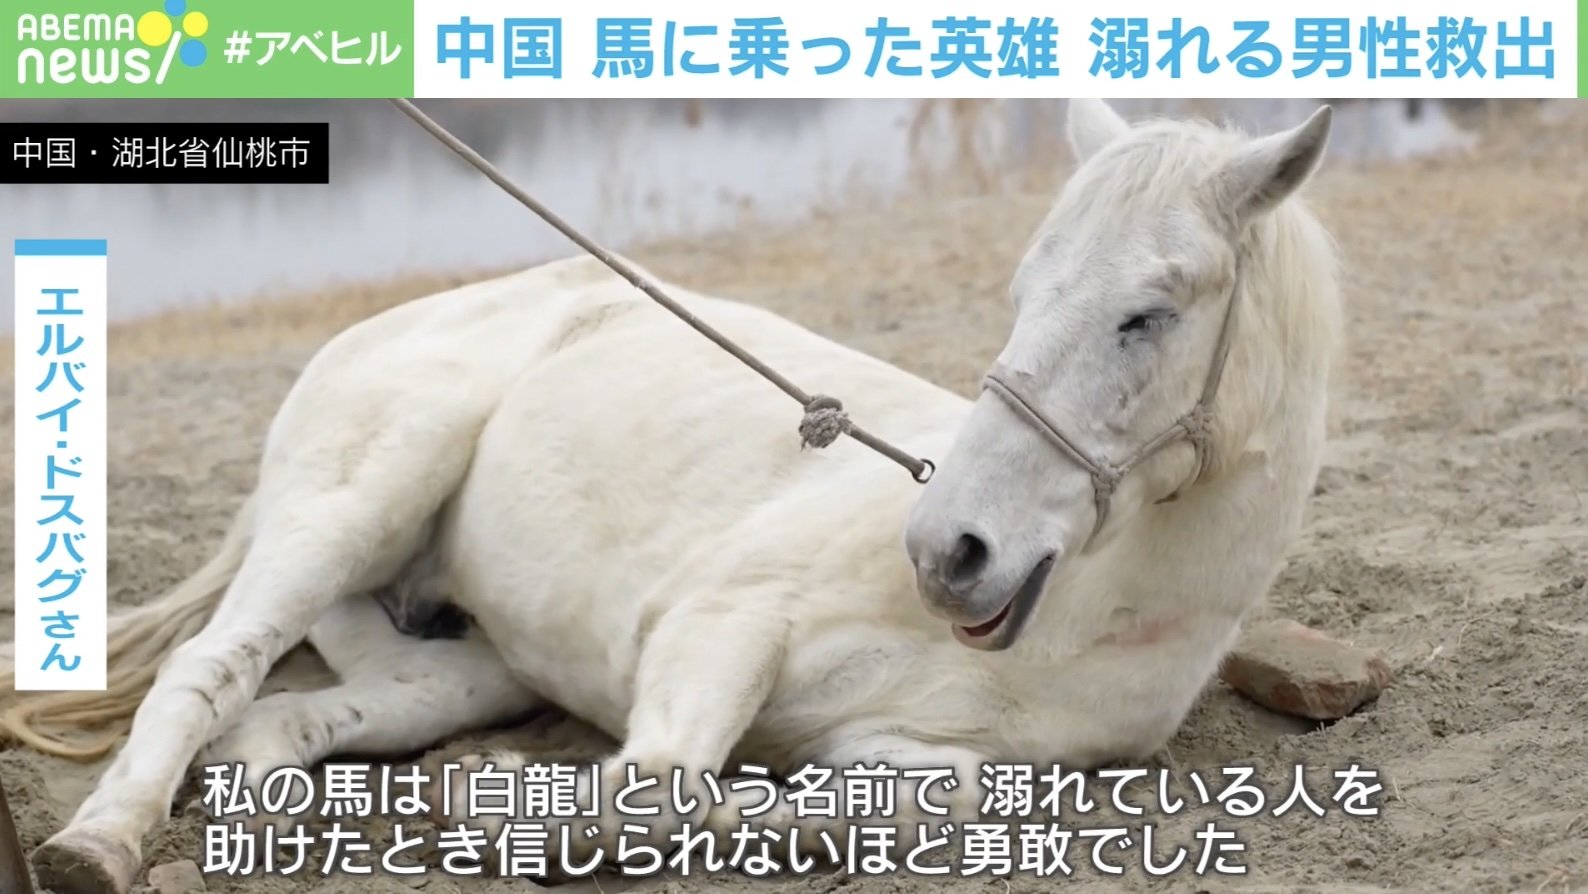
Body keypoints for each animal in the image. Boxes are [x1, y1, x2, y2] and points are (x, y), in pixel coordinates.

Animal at [13, 98, 1344, 893]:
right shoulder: (721, 623)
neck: (1080, 617)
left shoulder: (932, 757)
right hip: (362, 497)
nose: (948, 551)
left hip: (465, 657)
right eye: (1021, 294)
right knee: (216, 664)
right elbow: (654, 788)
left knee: (316, 711)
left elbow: (861, 805)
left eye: (1145, 315)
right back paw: (98, 843)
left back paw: (288, 782)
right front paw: (522, 816)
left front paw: (498, 804)